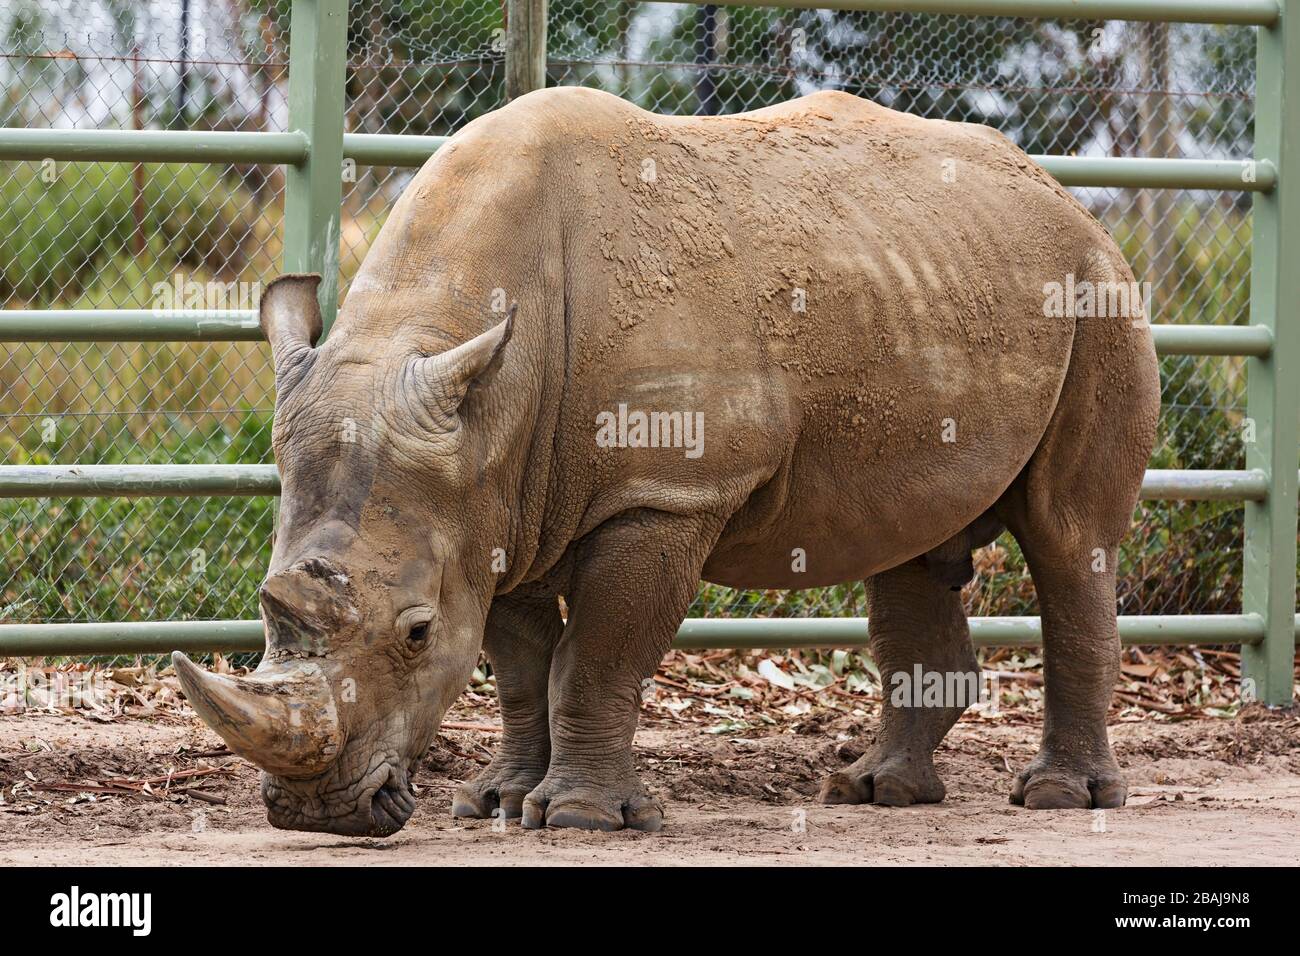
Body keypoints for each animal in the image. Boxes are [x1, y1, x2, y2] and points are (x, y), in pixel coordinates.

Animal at [173, 87, 1159, 836]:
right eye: (266, 608)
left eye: (414, 633)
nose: (317, 814)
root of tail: (1059, 191)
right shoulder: (494, 498)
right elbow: (520, 664)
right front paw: (496, 802)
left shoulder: (666, 493)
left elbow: (594, 656)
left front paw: (576, 818)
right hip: (940, 280)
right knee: (911, 546)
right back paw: (875, 791)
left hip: (1098, 293)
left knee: (1069, 539)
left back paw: (1060, 798)